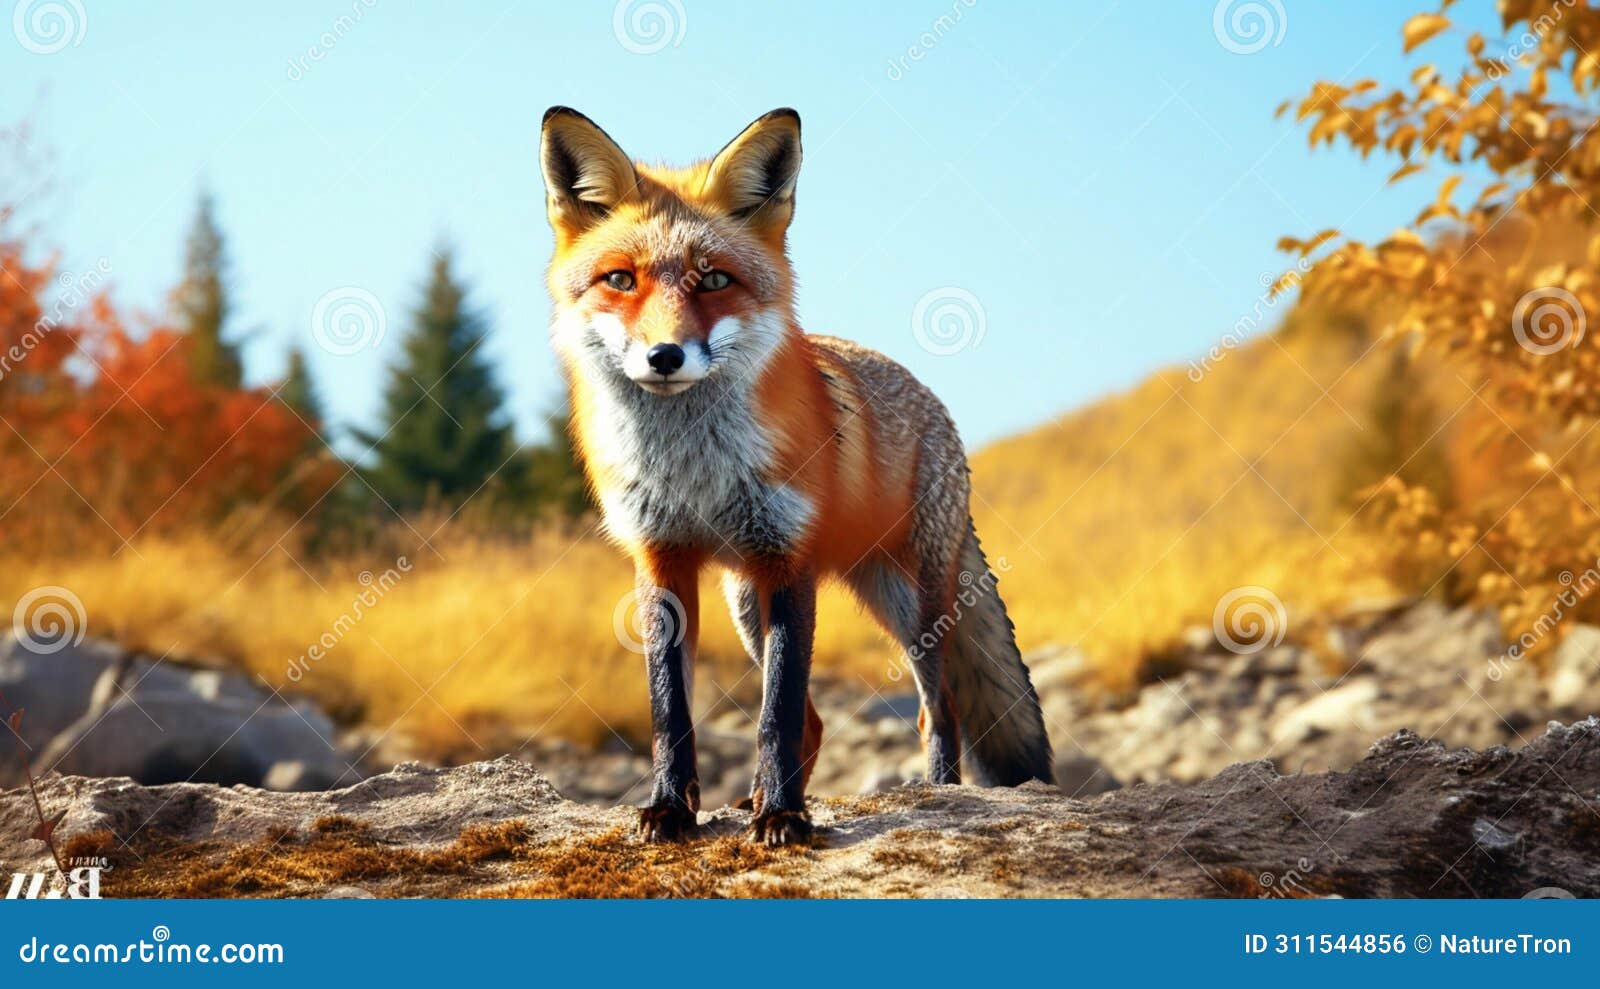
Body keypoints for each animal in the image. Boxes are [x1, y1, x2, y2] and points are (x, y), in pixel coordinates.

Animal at [539, 106, 1053, 845]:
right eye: (620, 280)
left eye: (714, 280)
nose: (665, 356)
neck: (696, 470)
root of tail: (934, 403)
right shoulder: (661, 560)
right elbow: (672, 712)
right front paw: (672, 807)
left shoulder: (789, 560)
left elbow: (775, 715)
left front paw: (784, 818)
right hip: (747, 603)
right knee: (817, 720)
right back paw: (756, 795)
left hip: (913, 604)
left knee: (937, 708)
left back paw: (935, 791)